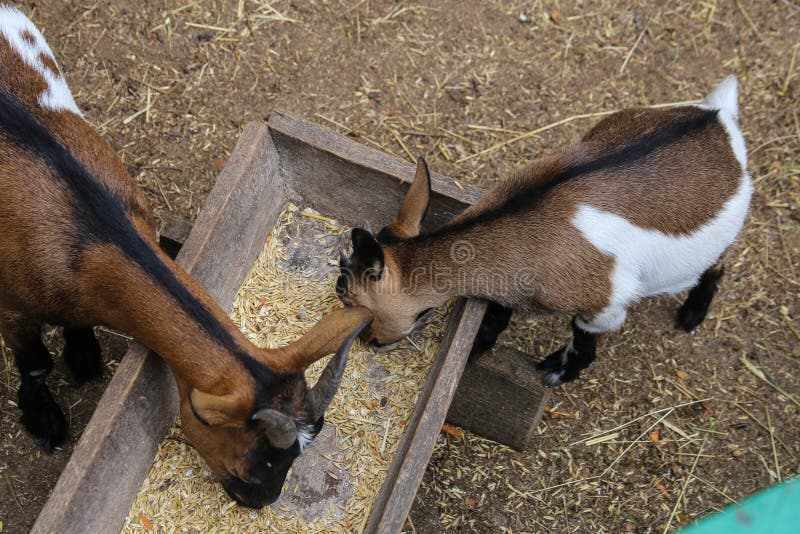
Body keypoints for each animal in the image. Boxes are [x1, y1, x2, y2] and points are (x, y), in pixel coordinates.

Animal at [0, 5, 371, 508]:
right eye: (259, 462)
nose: (260, 501)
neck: (93, 230)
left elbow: (76, 324)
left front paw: (84, 359)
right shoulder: (12, 307)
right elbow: (35, 364)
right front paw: (46, 424)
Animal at [338, 76, 751, 387]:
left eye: (355, 306)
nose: (369, 343)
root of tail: (720, 121)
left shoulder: (604, 304)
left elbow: (584, 342)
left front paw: (559, 371)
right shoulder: (508, 287)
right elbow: (495, 317)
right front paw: (476, 350)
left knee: (716, 267)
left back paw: (692, 315)